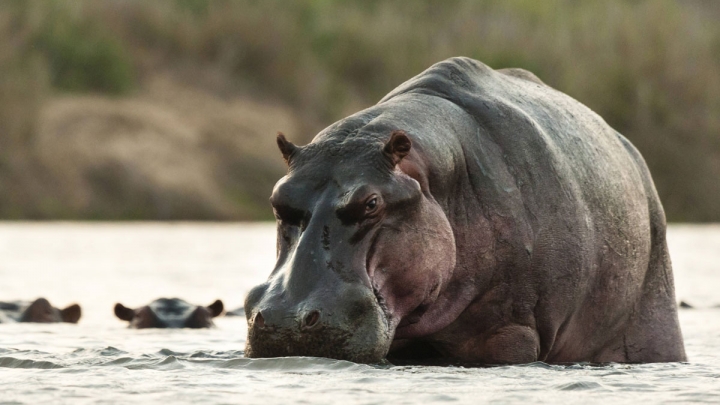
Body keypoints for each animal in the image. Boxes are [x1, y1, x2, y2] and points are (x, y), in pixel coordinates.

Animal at [244, 57, 686, 364]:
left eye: (372, 203)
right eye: (277, 198)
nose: (286, 320)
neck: (434, 180)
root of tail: (627, 147)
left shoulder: (509, 332)